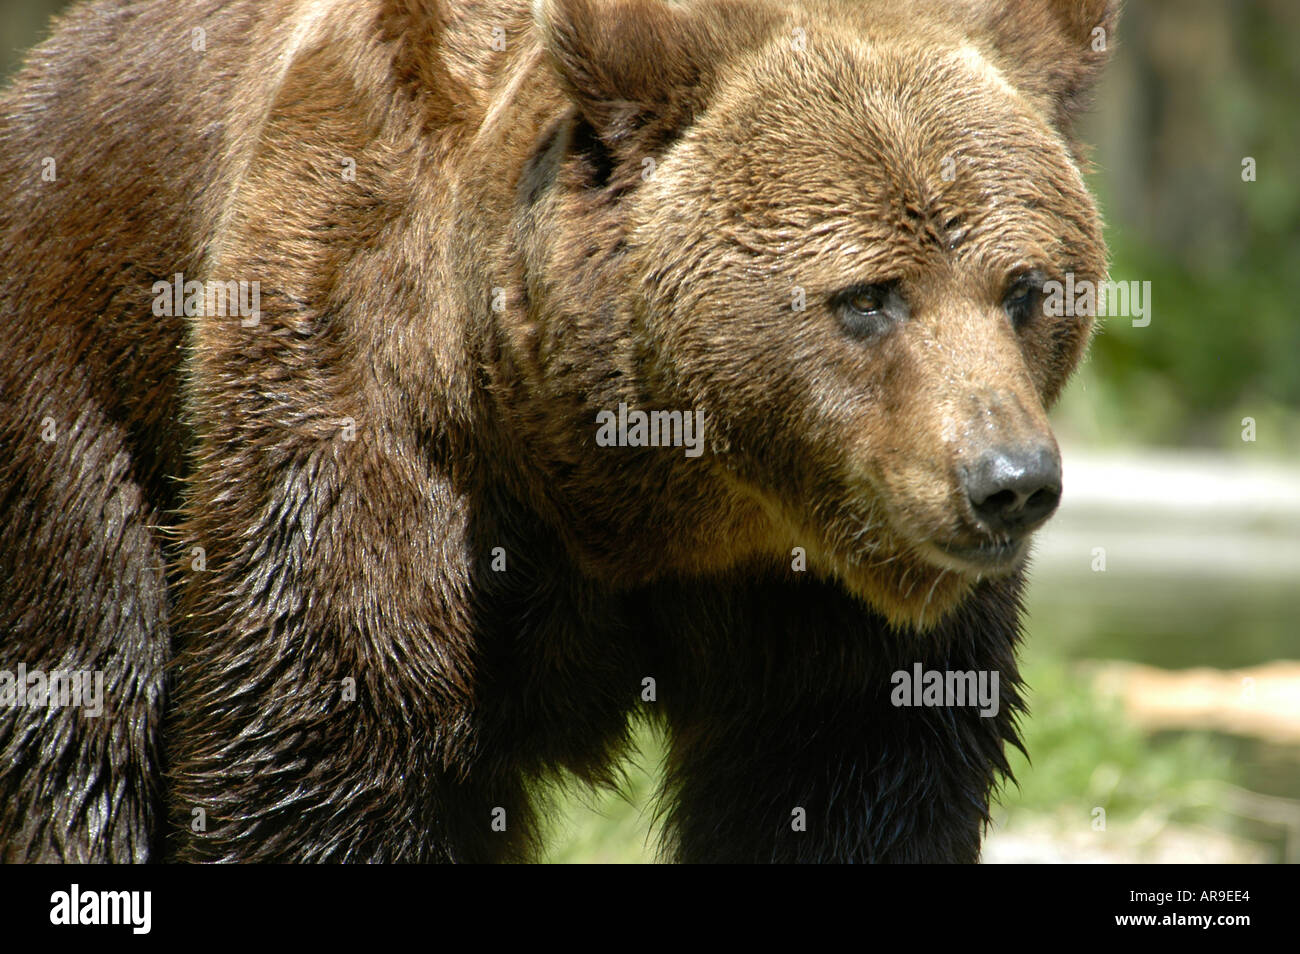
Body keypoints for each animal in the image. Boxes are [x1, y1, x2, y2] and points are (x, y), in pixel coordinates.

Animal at [0, 0, 1113, 862]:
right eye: (870, 297)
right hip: (77, 373)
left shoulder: (821, 585)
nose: (1007, 480)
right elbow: (330, 744)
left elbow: (849, 770)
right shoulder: (372, 410)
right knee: (77, 705)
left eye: (1025, 286)